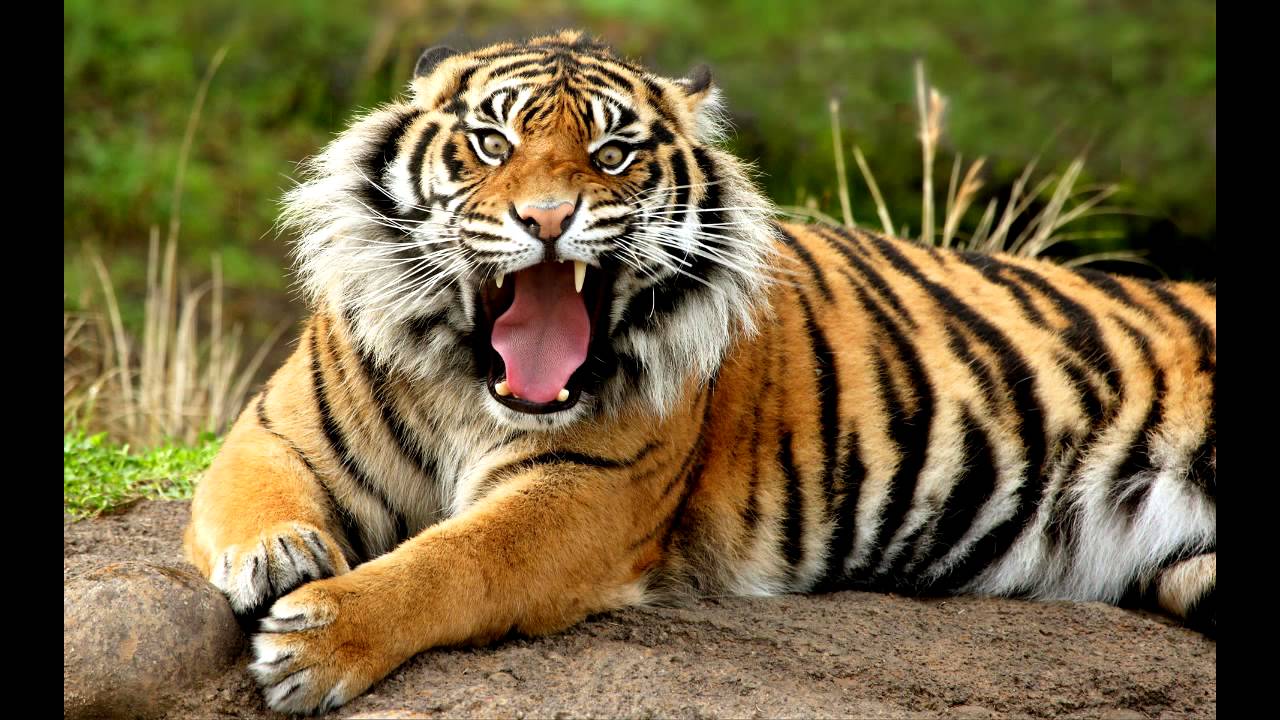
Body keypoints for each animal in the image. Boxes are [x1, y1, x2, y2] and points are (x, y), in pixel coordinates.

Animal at [183, 30, 1216, 714]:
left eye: (612, 154)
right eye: (493, 143)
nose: (547, 219)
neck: (466, 382)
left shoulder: (583, 494)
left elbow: (453, 562)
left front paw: (320, 642)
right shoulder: (276, 430)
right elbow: (254, 495)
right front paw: (278, 556)